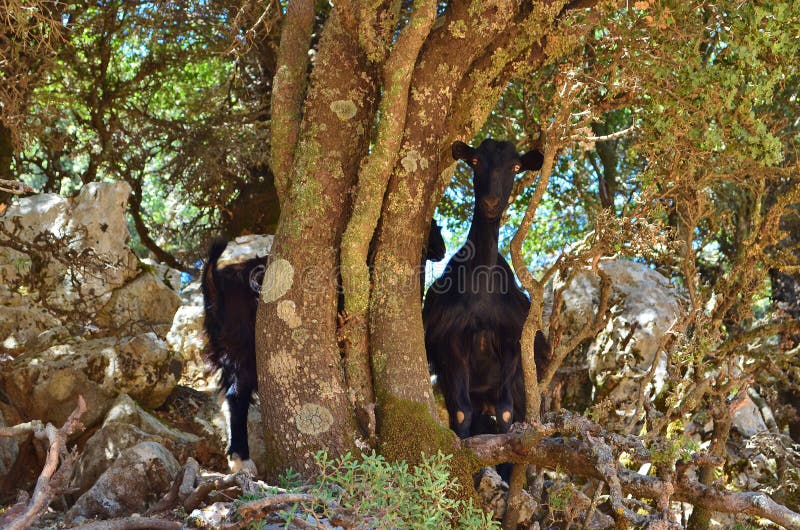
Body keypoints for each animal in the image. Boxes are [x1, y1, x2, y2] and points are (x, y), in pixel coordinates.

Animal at [202, 221, 446, 474]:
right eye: (433, 228)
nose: (442, 250)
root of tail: (217, 284)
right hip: (247, 349)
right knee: (236, 396)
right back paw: (241, 459)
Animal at [423, 139, 551, 479]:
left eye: (516, 166)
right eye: (476, 161)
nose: (492, 202)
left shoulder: (512, 340)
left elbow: (506, 415)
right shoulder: (450, 341)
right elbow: (461, 413)